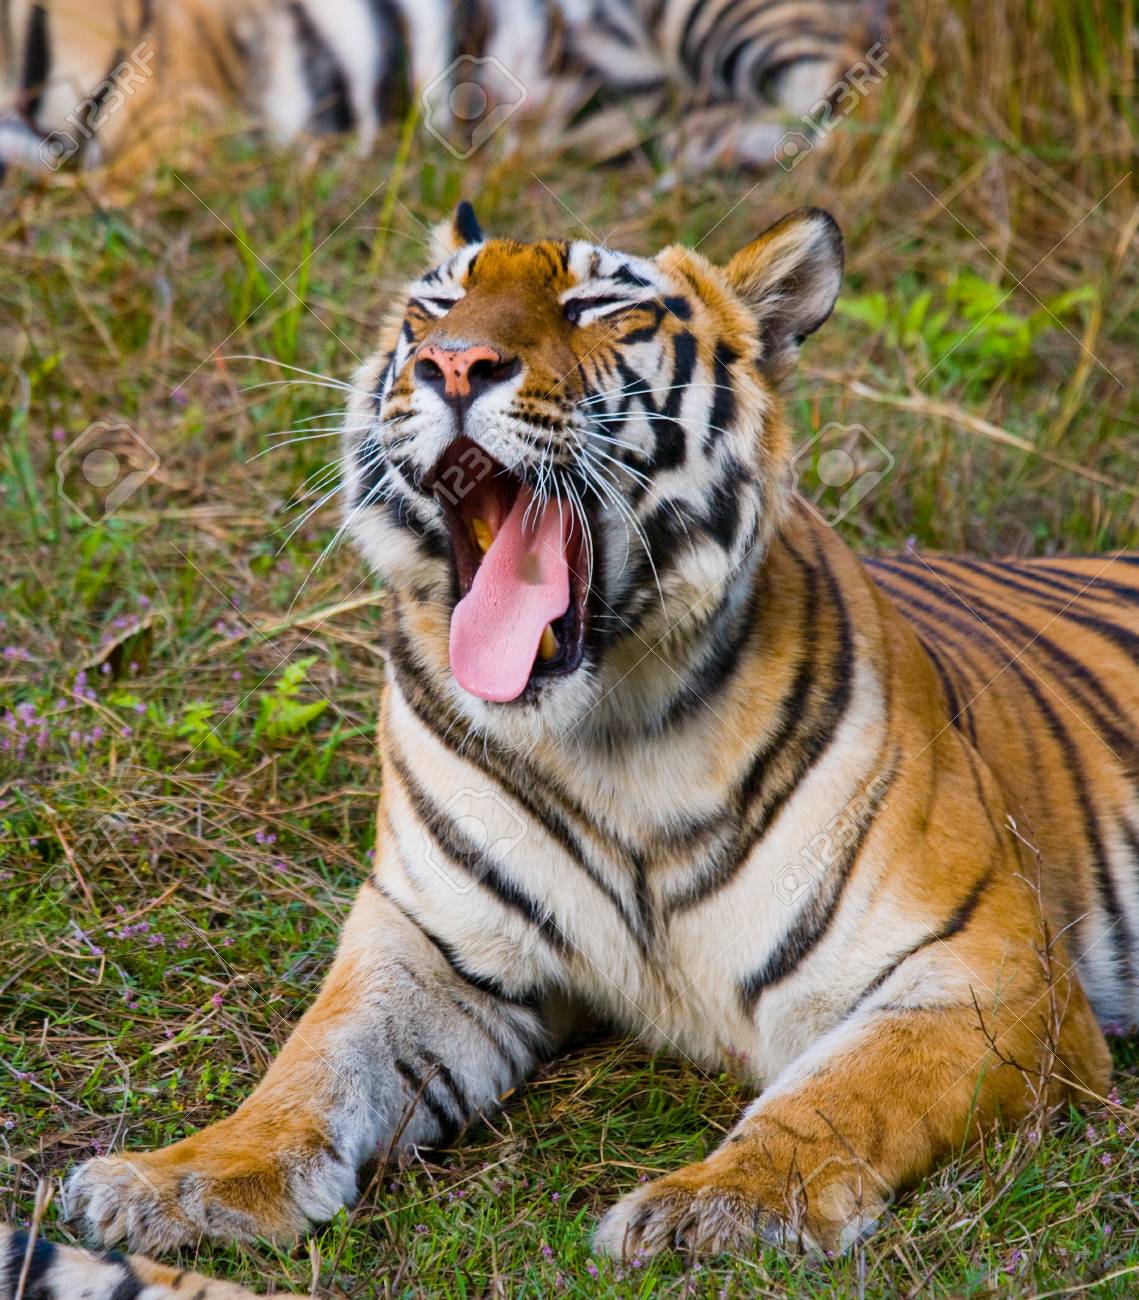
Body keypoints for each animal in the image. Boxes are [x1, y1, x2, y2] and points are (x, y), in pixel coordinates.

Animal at [5, 201, 1137, 1299]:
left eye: (595, 306)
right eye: (431, 308)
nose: (454, 364)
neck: (603, 739)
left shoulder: (987, 976)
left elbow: (842, 1095)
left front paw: (713, 1207)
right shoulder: (430, 940)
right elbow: (312, 1066)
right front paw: (183, 1180)